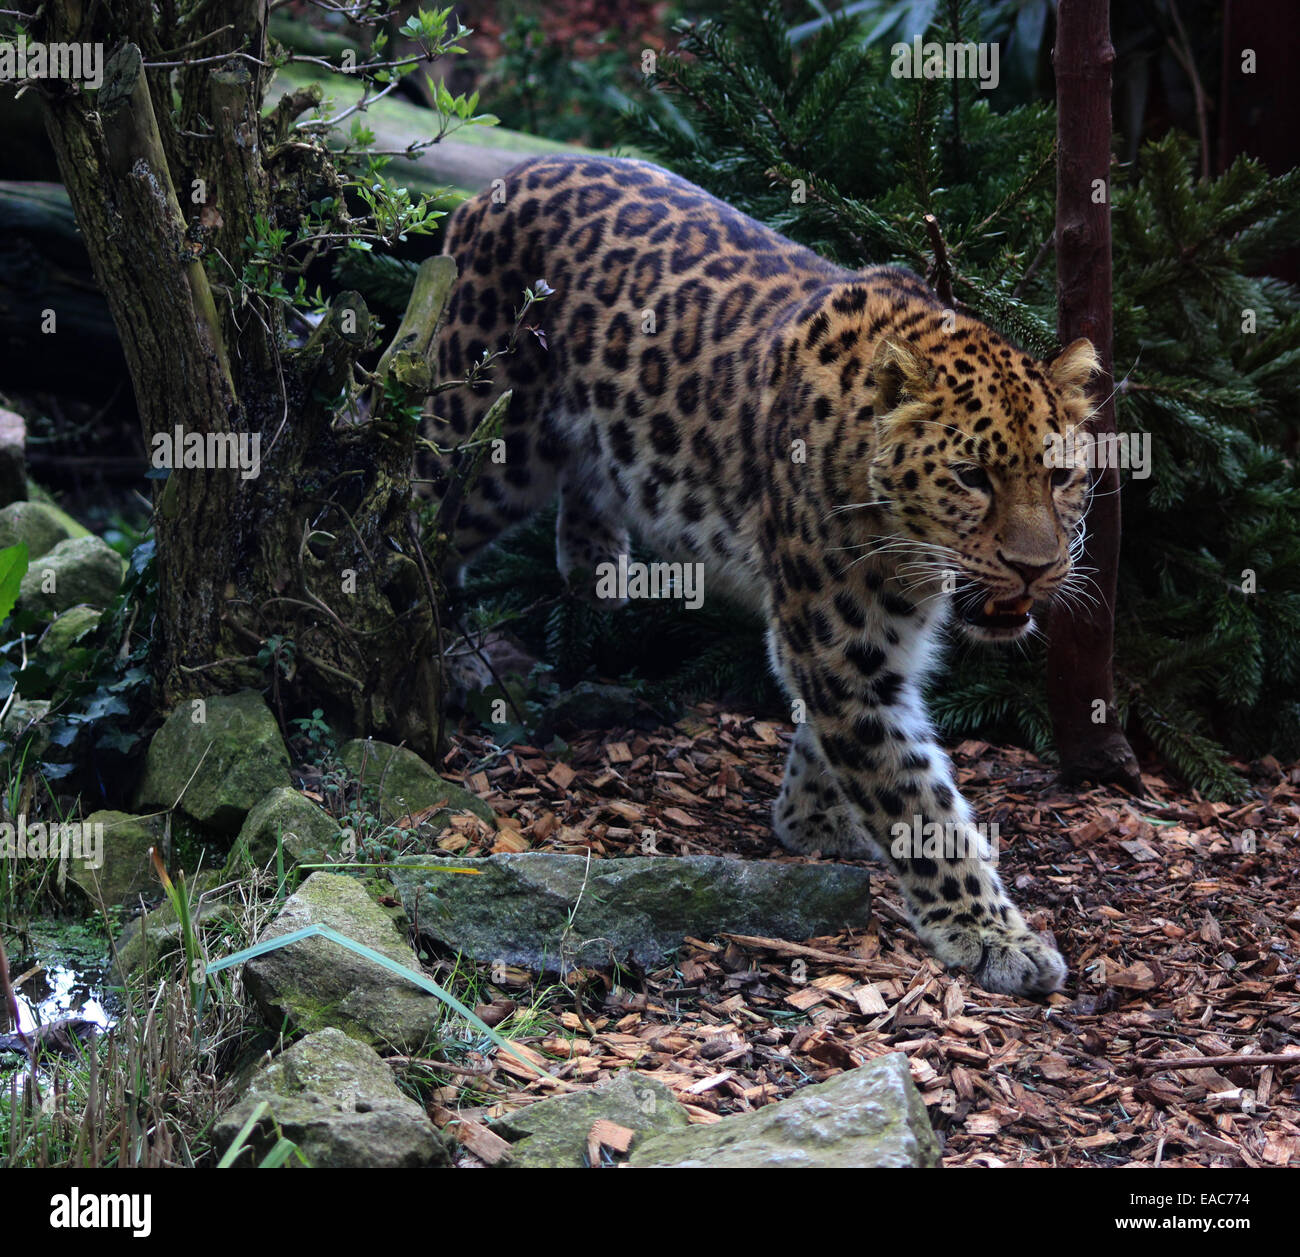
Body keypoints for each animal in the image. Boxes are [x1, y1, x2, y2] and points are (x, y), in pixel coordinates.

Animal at [424, 153, 1099, 997]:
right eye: (971, 476)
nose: (1037, 569)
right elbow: (915, 796)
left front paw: (810, 818)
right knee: (410, 512)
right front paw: (992, 933)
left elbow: (841, 741)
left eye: (1062, 475)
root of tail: (503, 178)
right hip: (487, 442)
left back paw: (600, 569)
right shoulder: (839, 644)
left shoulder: (868, 644)